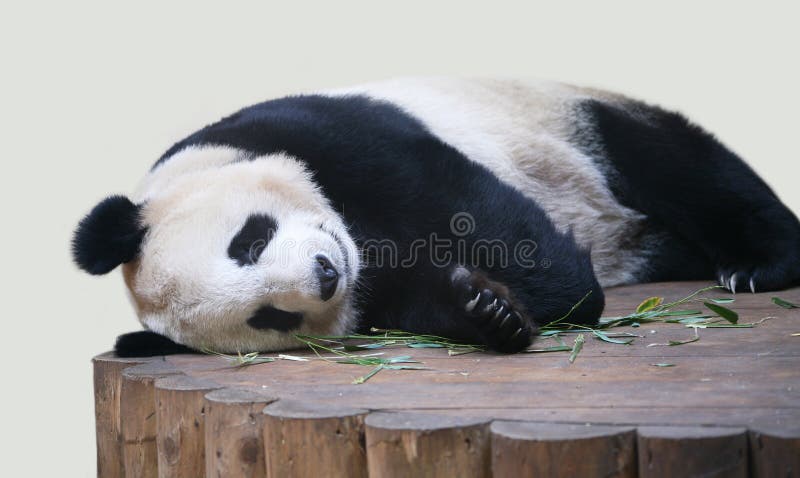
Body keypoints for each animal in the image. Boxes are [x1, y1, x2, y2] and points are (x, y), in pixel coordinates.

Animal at [72, 77, 800, 356]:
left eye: (248, 241)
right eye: (269, 317)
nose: (325, 273)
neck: (358, 239)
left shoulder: (321, 134)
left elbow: (466, 205)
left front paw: (562, 292)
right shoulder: (372, 290)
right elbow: (413, 299)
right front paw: (487, 311)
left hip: (570, 121)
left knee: (681, 164)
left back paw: (758, 264)